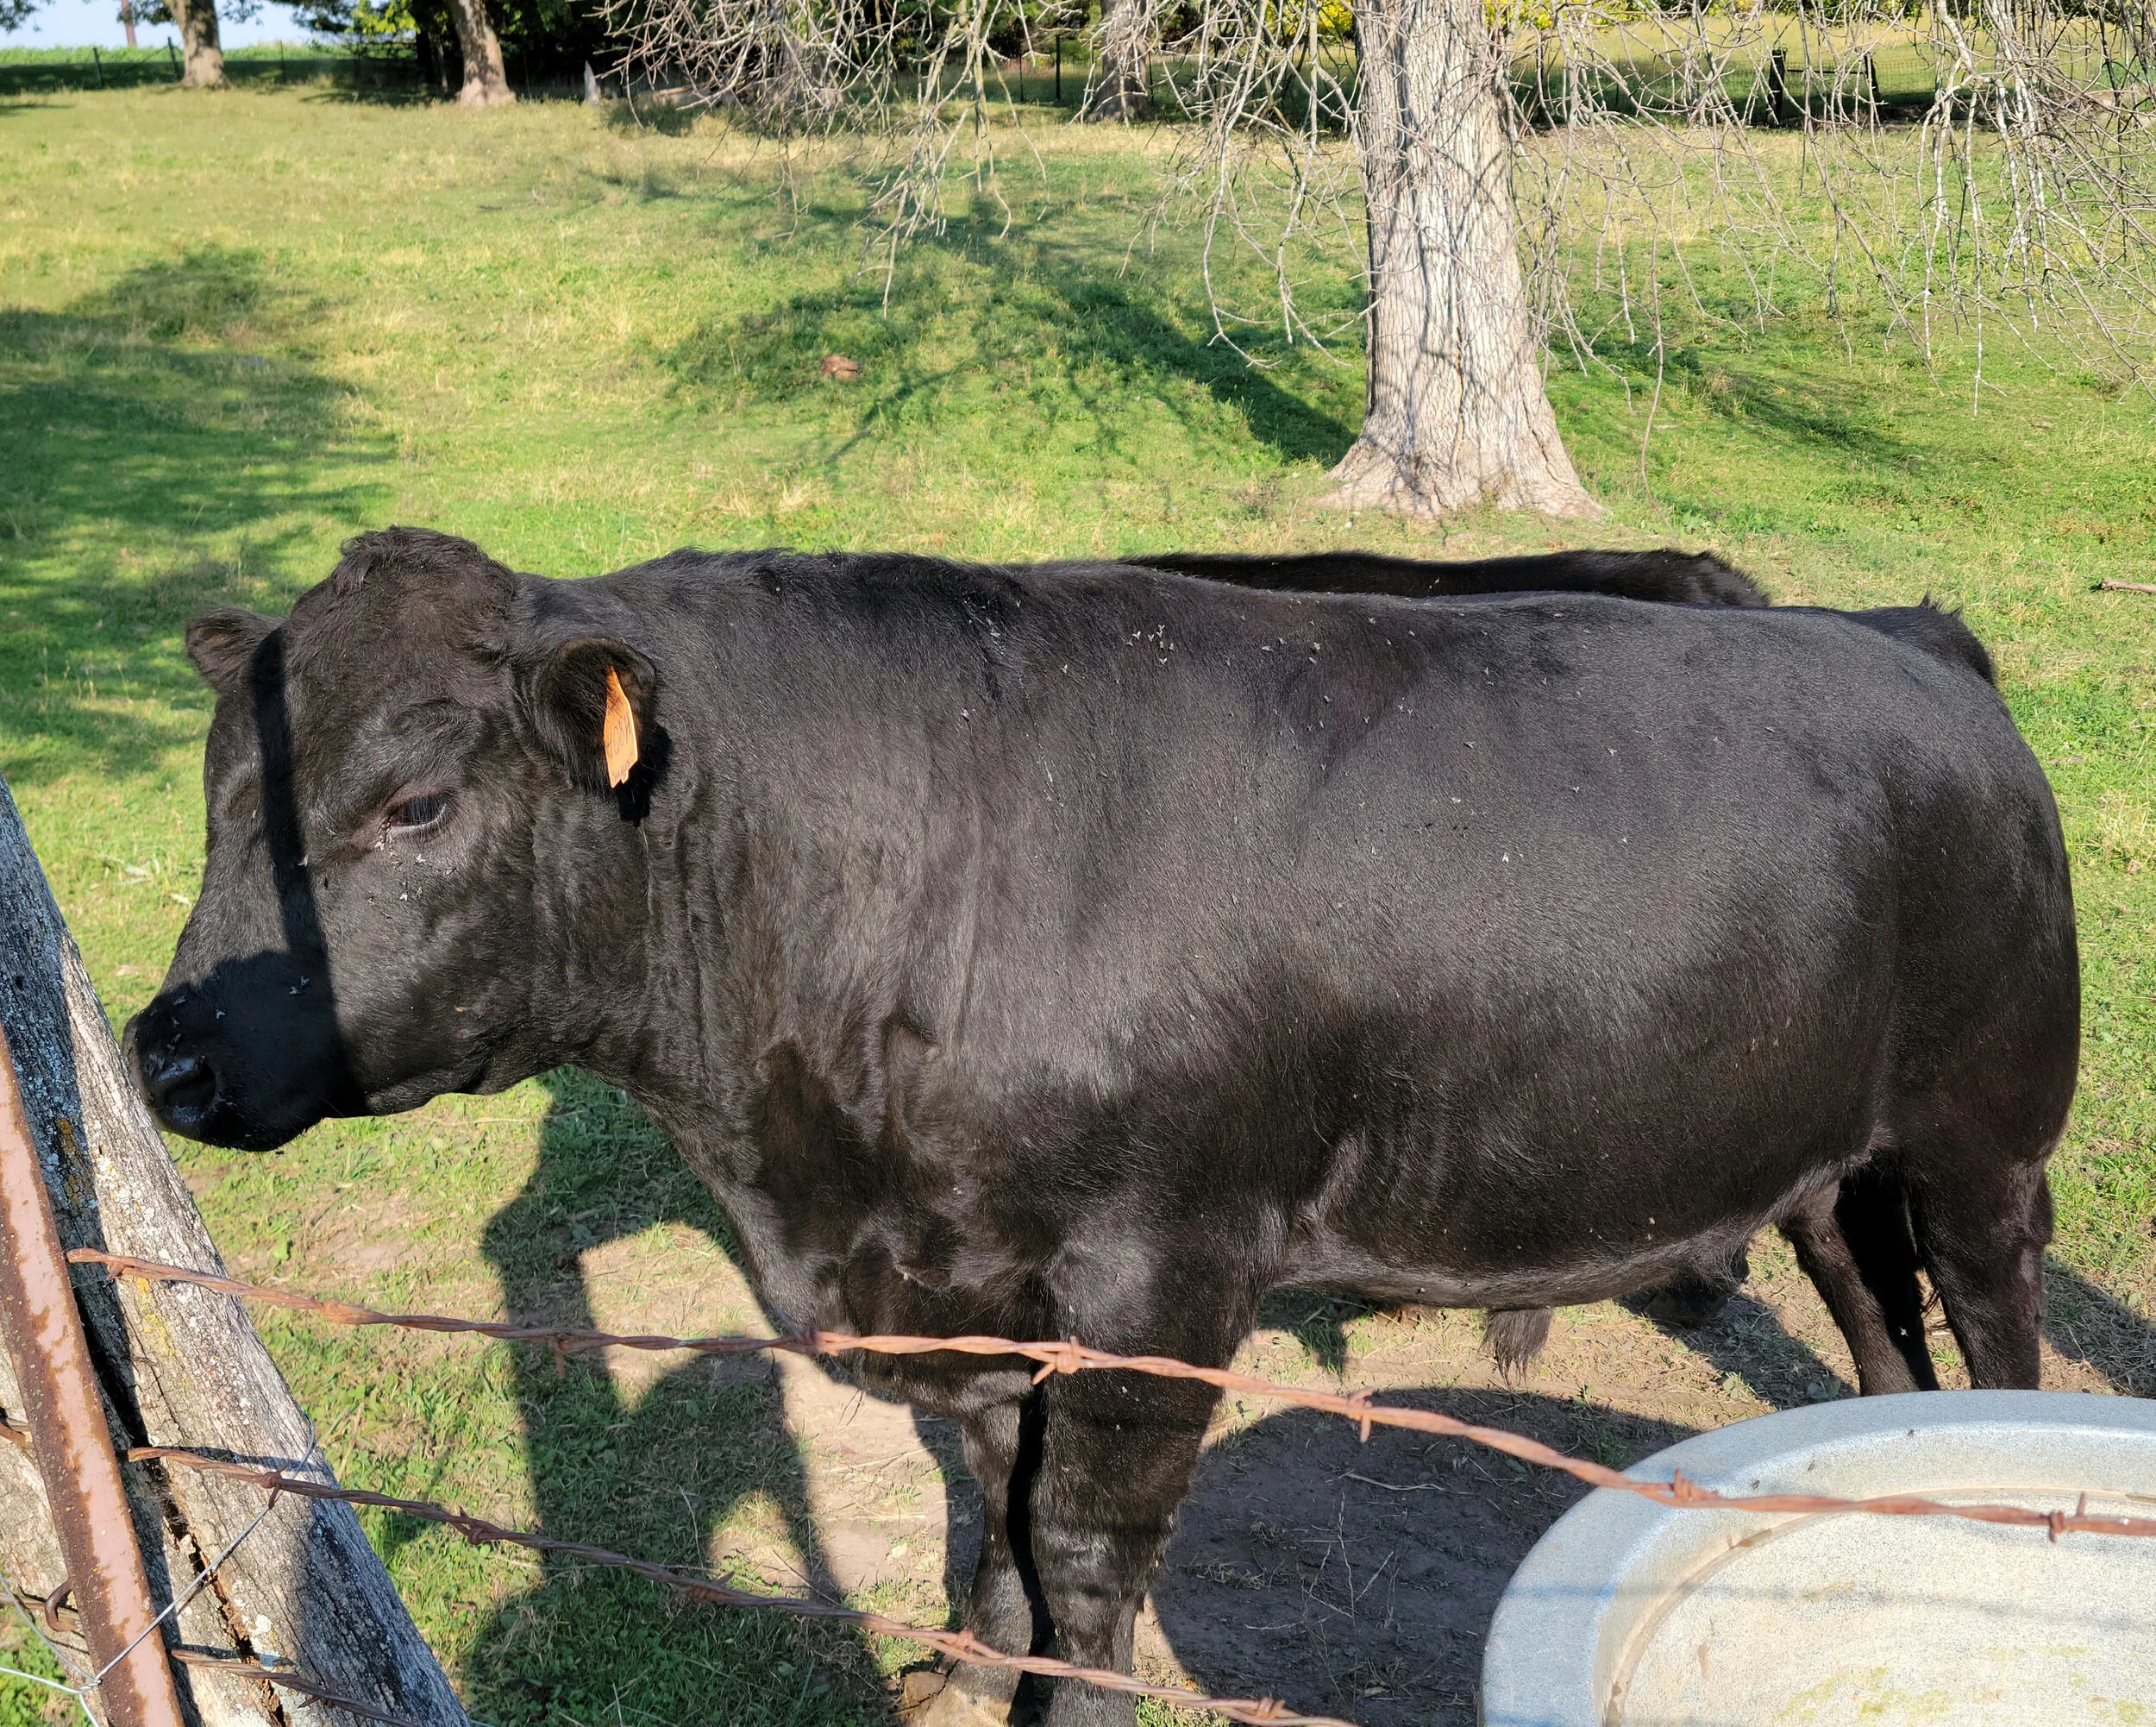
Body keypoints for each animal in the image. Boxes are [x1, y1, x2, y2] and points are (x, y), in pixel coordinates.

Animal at [127, 530, 2077, 1727]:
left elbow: (1083, 1544)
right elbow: (997, 1505)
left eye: (416, 804)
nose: (164, 1058)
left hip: (1982, 1136)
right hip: (1819, 1155)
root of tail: (1897, 634)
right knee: (1872, 1325)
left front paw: (1058, 1688)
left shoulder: (1161, 1276)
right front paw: (960, 1674)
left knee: (1991, 1327)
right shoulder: (979, 1284)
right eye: (220, 790)